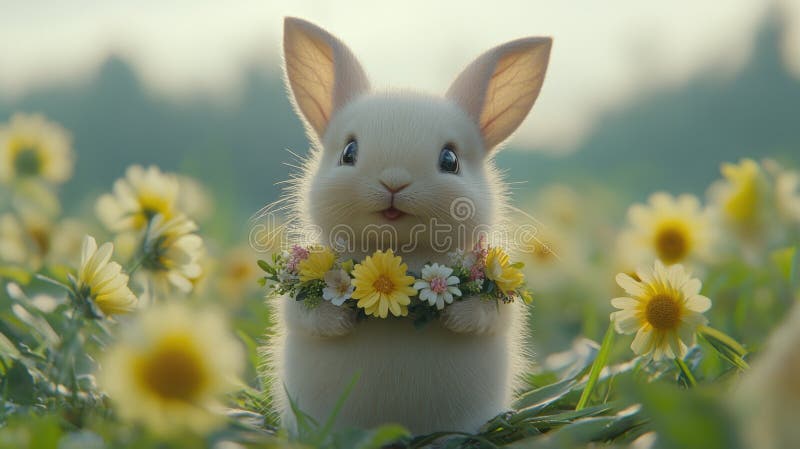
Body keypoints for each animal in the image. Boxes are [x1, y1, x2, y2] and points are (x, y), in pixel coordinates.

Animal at [264, 17, 552, 435]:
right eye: (348, 152)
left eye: (450, 160)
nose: (394, 182)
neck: (399, 252)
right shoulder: (295, 304)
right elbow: (303, 314)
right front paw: (341, 317)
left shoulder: (500, 307)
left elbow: (491, 315)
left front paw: (454, 315)